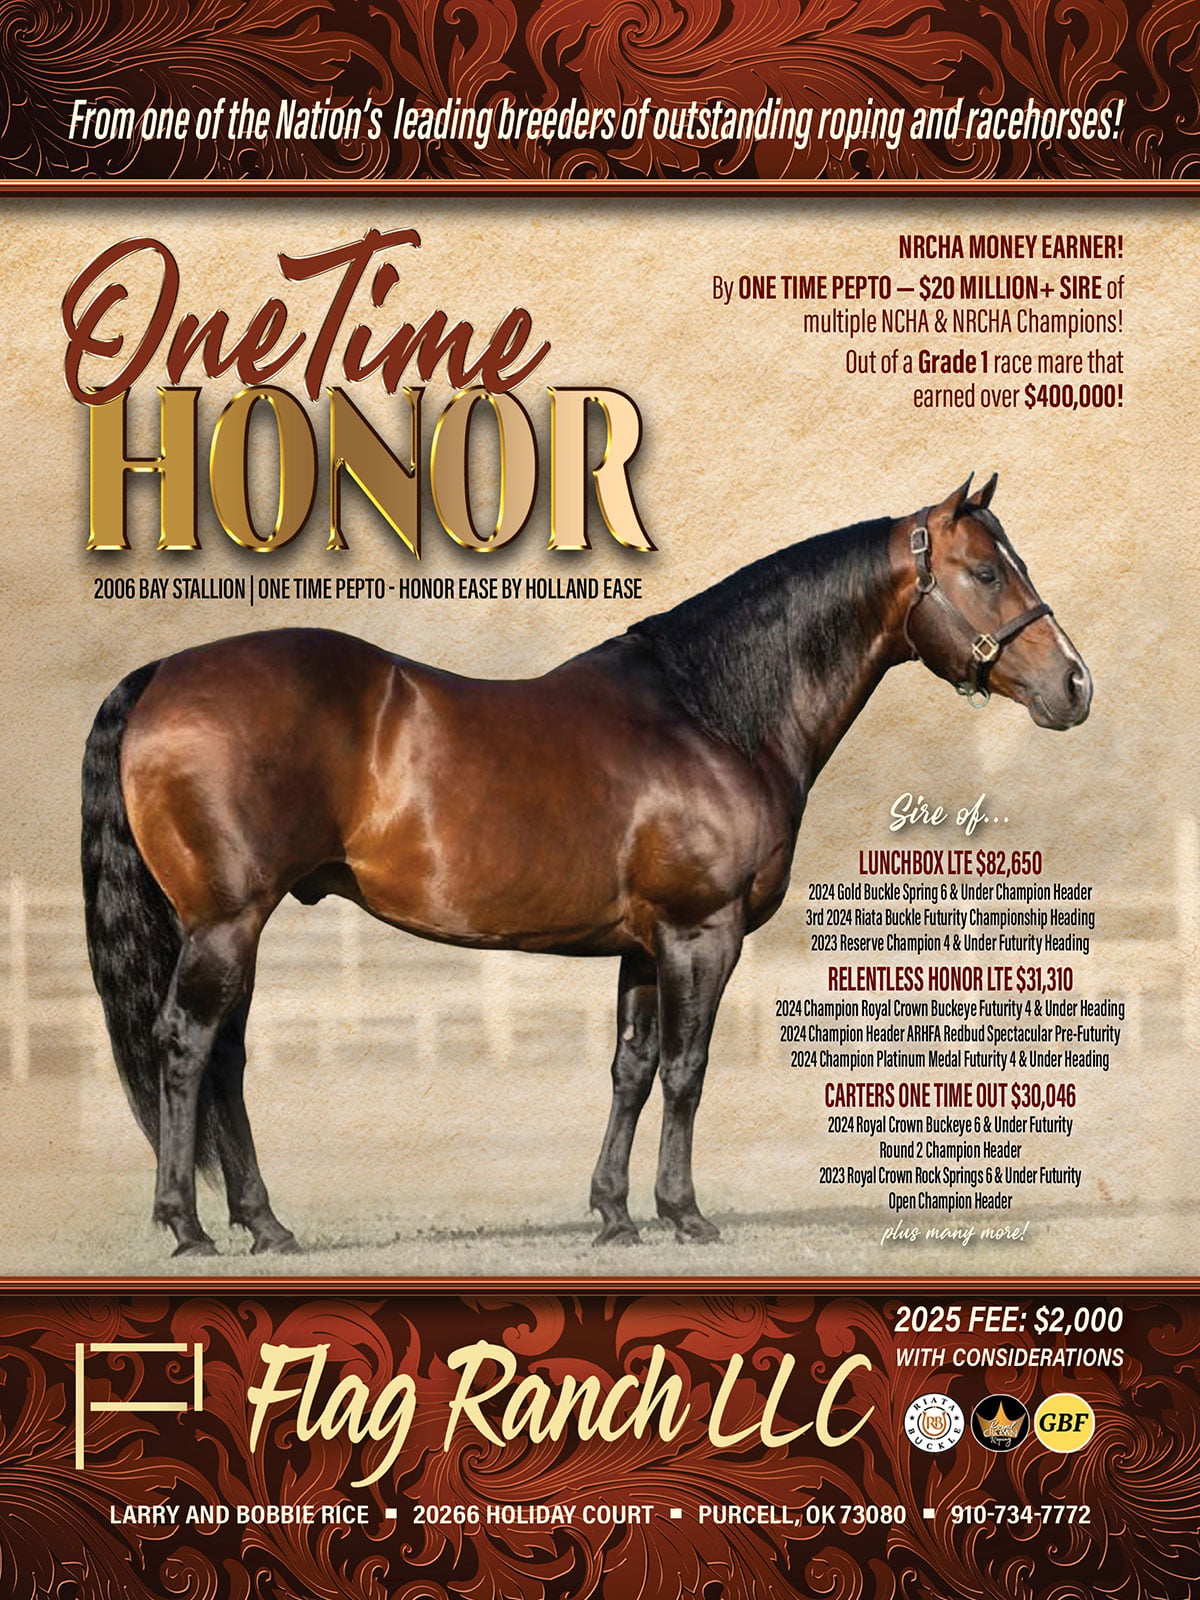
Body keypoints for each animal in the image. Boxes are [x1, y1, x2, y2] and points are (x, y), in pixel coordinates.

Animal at [82, 474, 1091, 1256]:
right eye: (987, 571)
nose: (1074, 686)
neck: (710, 711)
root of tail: (164, 672)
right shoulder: (700, 932)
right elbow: (687, 1069)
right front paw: (684, 1214)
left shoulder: (643, 945)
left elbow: (631, 1070)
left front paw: (613, 1215)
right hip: (226, 922)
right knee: (187, 1045)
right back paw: (189, 1228)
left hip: (234, 925)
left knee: (227, 1060)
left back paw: (266, 1226)